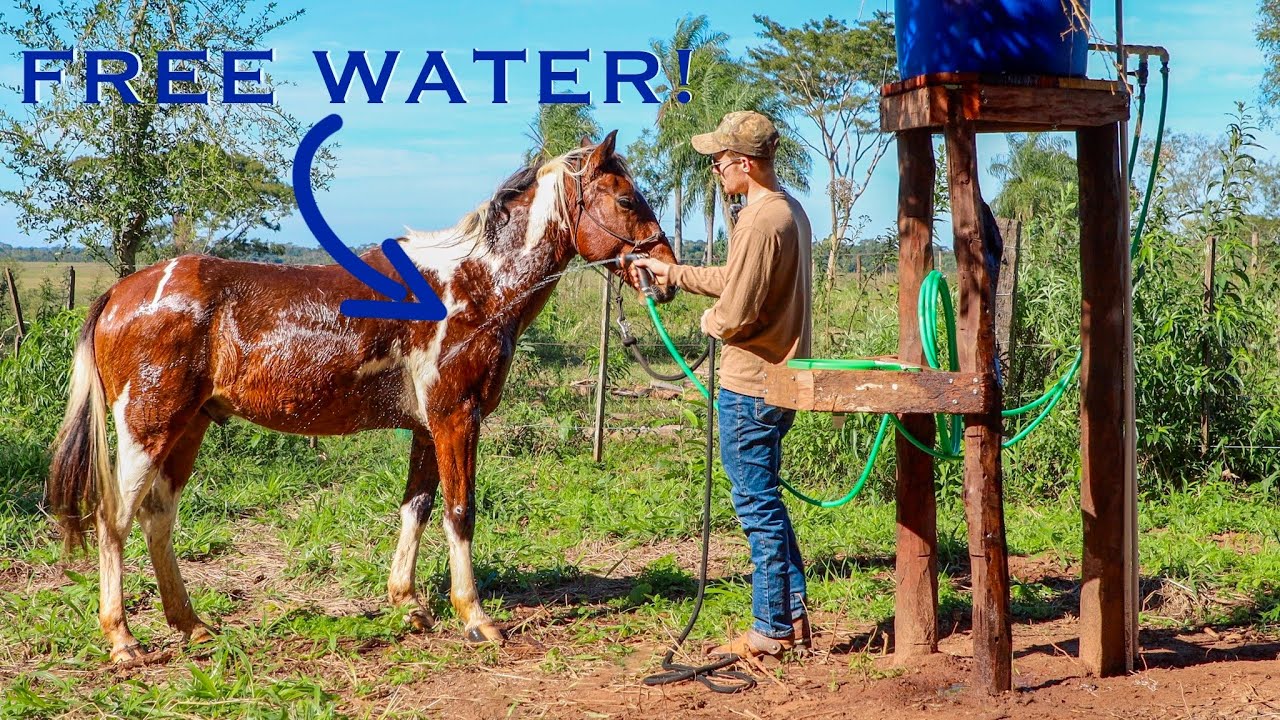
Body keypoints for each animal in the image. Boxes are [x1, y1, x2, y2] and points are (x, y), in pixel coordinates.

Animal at [45, 130, 678, 662]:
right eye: (627, 200)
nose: (666, 275)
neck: (473, 284)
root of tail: (119, 294)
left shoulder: (427, 425)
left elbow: (416, 507)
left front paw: (409, 604)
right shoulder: (456, 417)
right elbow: (460, 511)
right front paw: (475, 618)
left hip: (188, 428)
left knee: (158, 519)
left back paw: (192, 624)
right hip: (146, 429)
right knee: (113, 519)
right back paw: (123, 639)